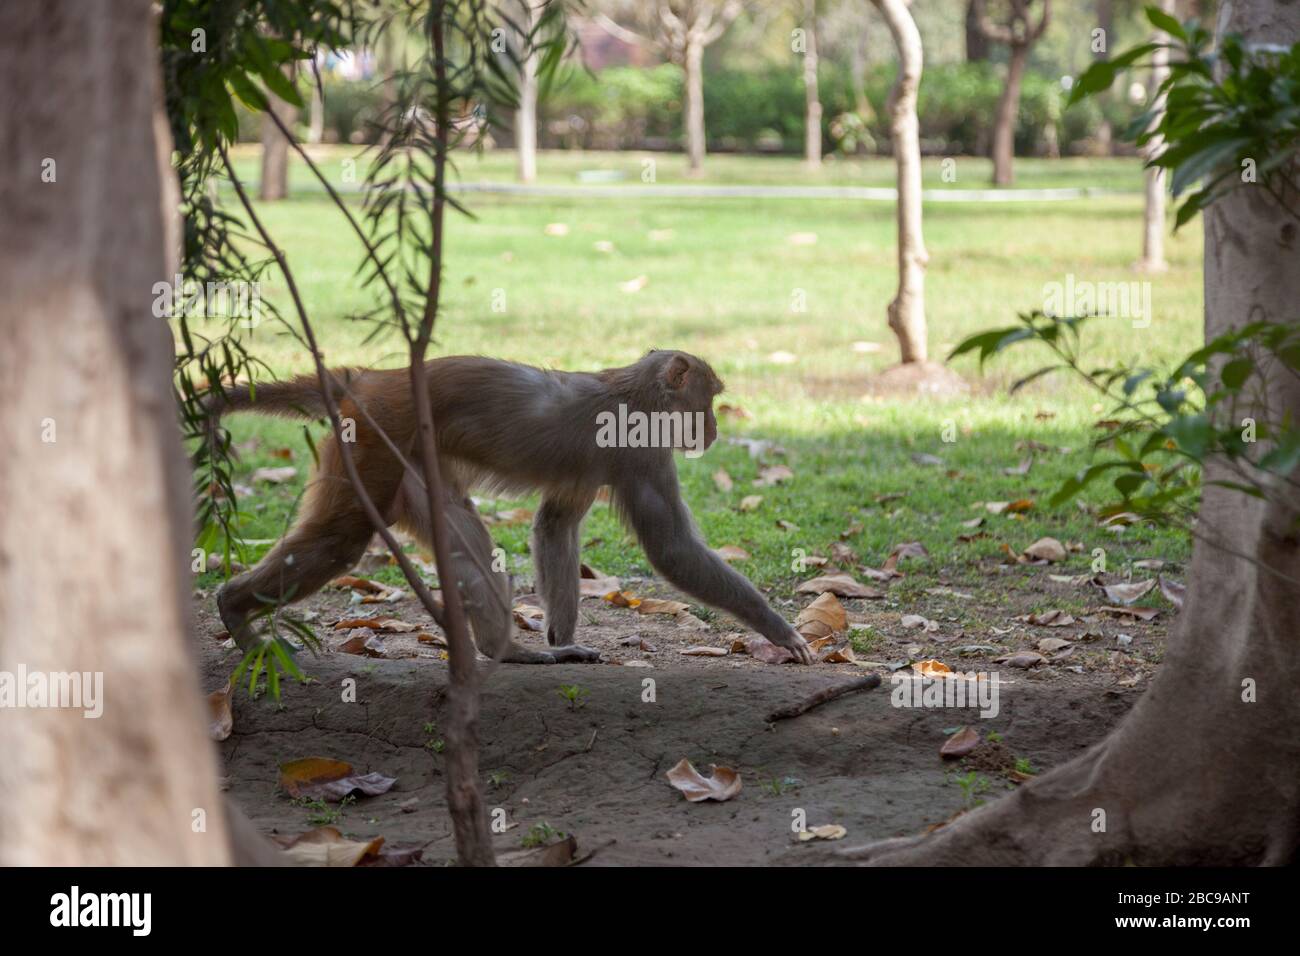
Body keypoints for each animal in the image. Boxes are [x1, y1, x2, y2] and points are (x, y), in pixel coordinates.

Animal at [208, 349, 814, 665]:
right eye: (707, 401)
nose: (712, 428)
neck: (636, 395)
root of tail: (369, 379)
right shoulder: (640, 452)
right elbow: (672, 550)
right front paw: (779, 630)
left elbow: (554, 527)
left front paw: (563, 641)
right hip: (373, 437)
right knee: (340, 537)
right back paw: (233, 609)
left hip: (408, 459)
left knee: (467, 540)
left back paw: (505, 652)